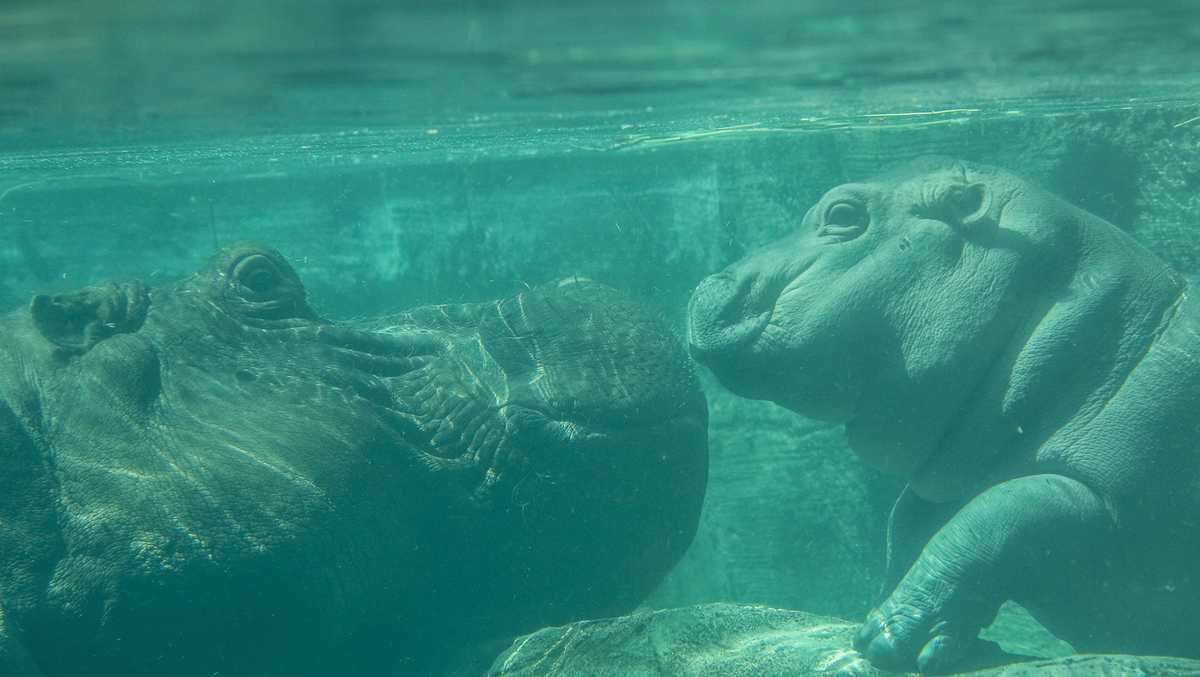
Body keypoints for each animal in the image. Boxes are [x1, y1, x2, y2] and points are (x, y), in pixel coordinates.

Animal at [687, 157, 1200, 673]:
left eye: (843, 213)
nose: (707, 282)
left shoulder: (1108, 493)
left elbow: (996, 514)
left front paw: (885, 641)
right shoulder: (950, 475)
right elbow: (910, 526)